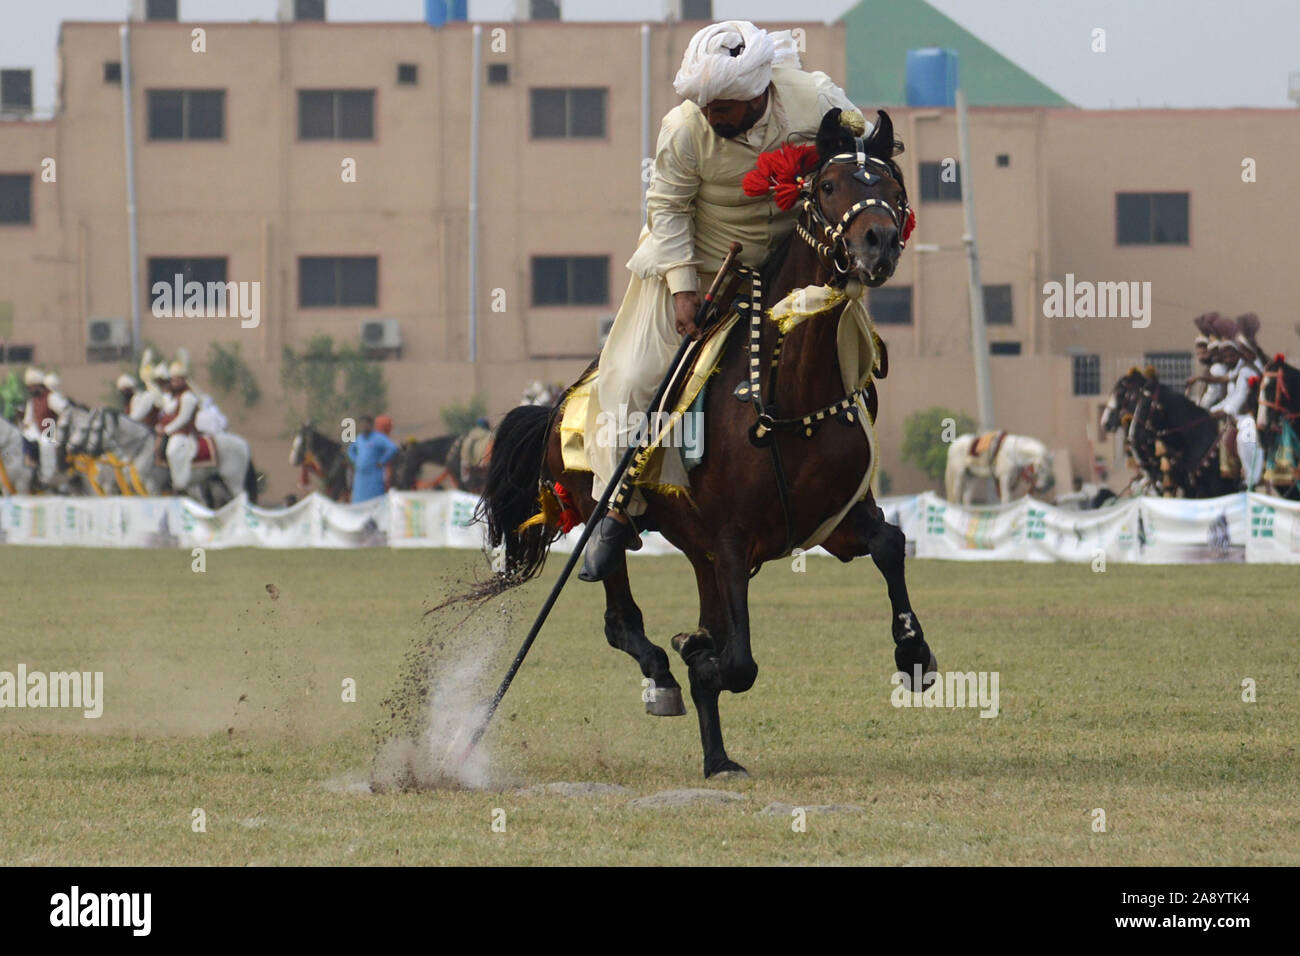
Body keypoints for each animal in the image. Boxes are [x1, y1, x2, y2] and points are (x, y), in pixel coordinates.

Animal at [468, 108, 937, 778]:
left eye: (895, 187)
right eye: (827, 186)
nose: (879, 243)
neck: (788, 394)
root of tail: (560, 401)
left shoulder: (831, 522)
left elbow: (891, 544)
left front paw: (914, 653)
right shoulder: (733, 540)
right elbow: (737, 661)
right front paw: (697, 657)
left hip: (697, 551)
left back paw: (717, 754)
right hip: (602, 509)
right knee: (617, 609)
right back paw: (665, 674)